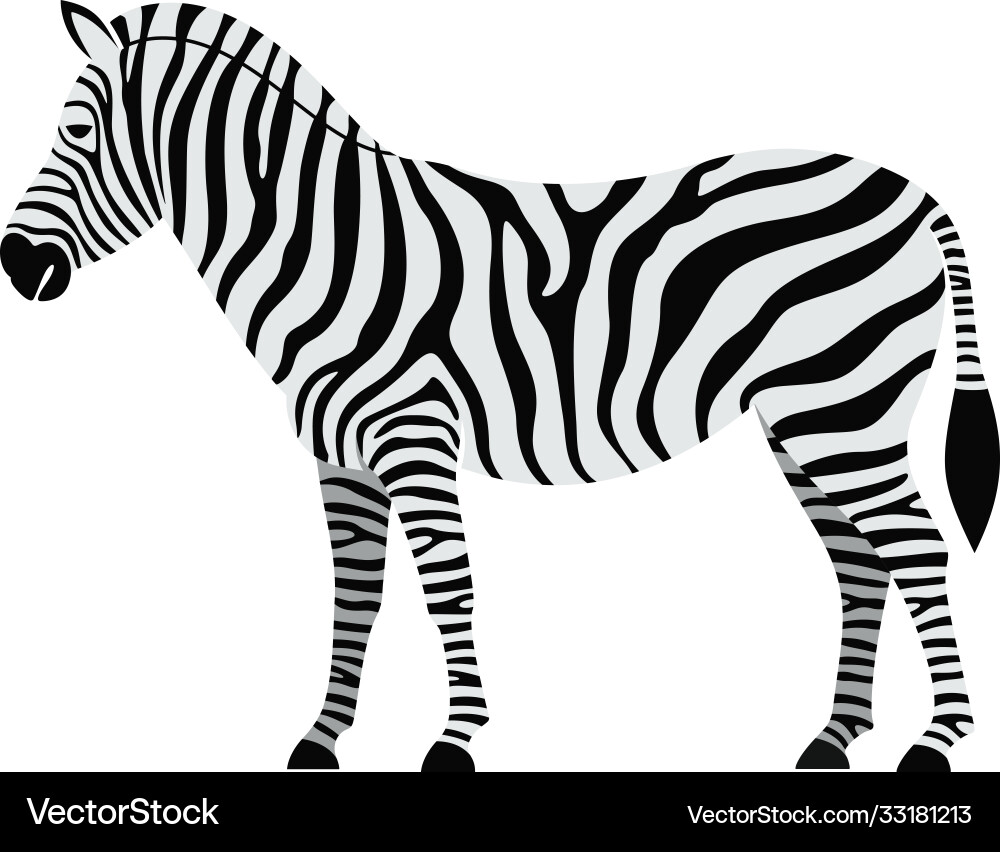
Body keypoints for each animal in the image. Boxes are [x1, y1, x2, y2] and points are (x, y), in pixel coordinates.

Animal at [3, 1, 997, 773]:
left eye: (75, 131)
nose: (14, 263)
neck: (333, 245)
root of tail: (916, 193)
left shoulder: (414, 434)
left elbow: (449, 585)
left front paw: (455, 741)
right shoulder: (337, 456)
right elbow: (356, 592)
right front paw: (323, 738)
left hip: (846, 413)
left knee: (919, 552)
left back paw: (936, 742)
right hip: (806, 421)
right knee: (861, 562)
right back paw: (833, 740)